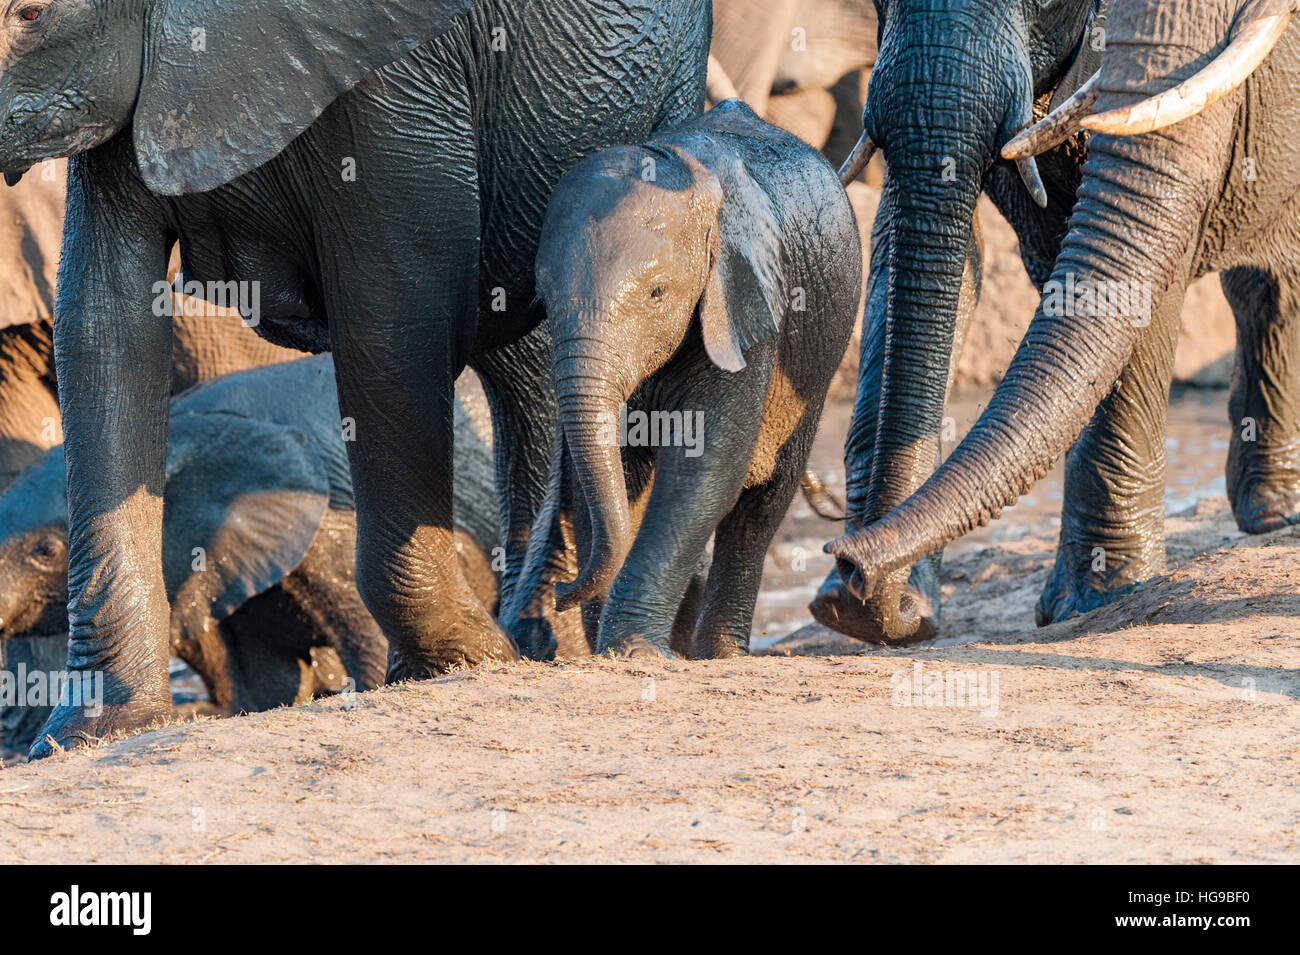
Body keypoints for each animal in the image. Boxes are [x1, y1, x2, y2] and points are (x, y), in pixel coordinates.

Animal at [520, 100, 860, 658]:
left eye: (657, 293)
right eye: (543, 298)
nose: (560, 595)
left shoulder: (747, 303)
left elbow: (705, 468)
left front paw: (635, 650)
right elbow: (609, 471)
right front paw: (617, 646)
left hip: (818, 359)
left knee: (762, 505)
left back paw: (719, 653)